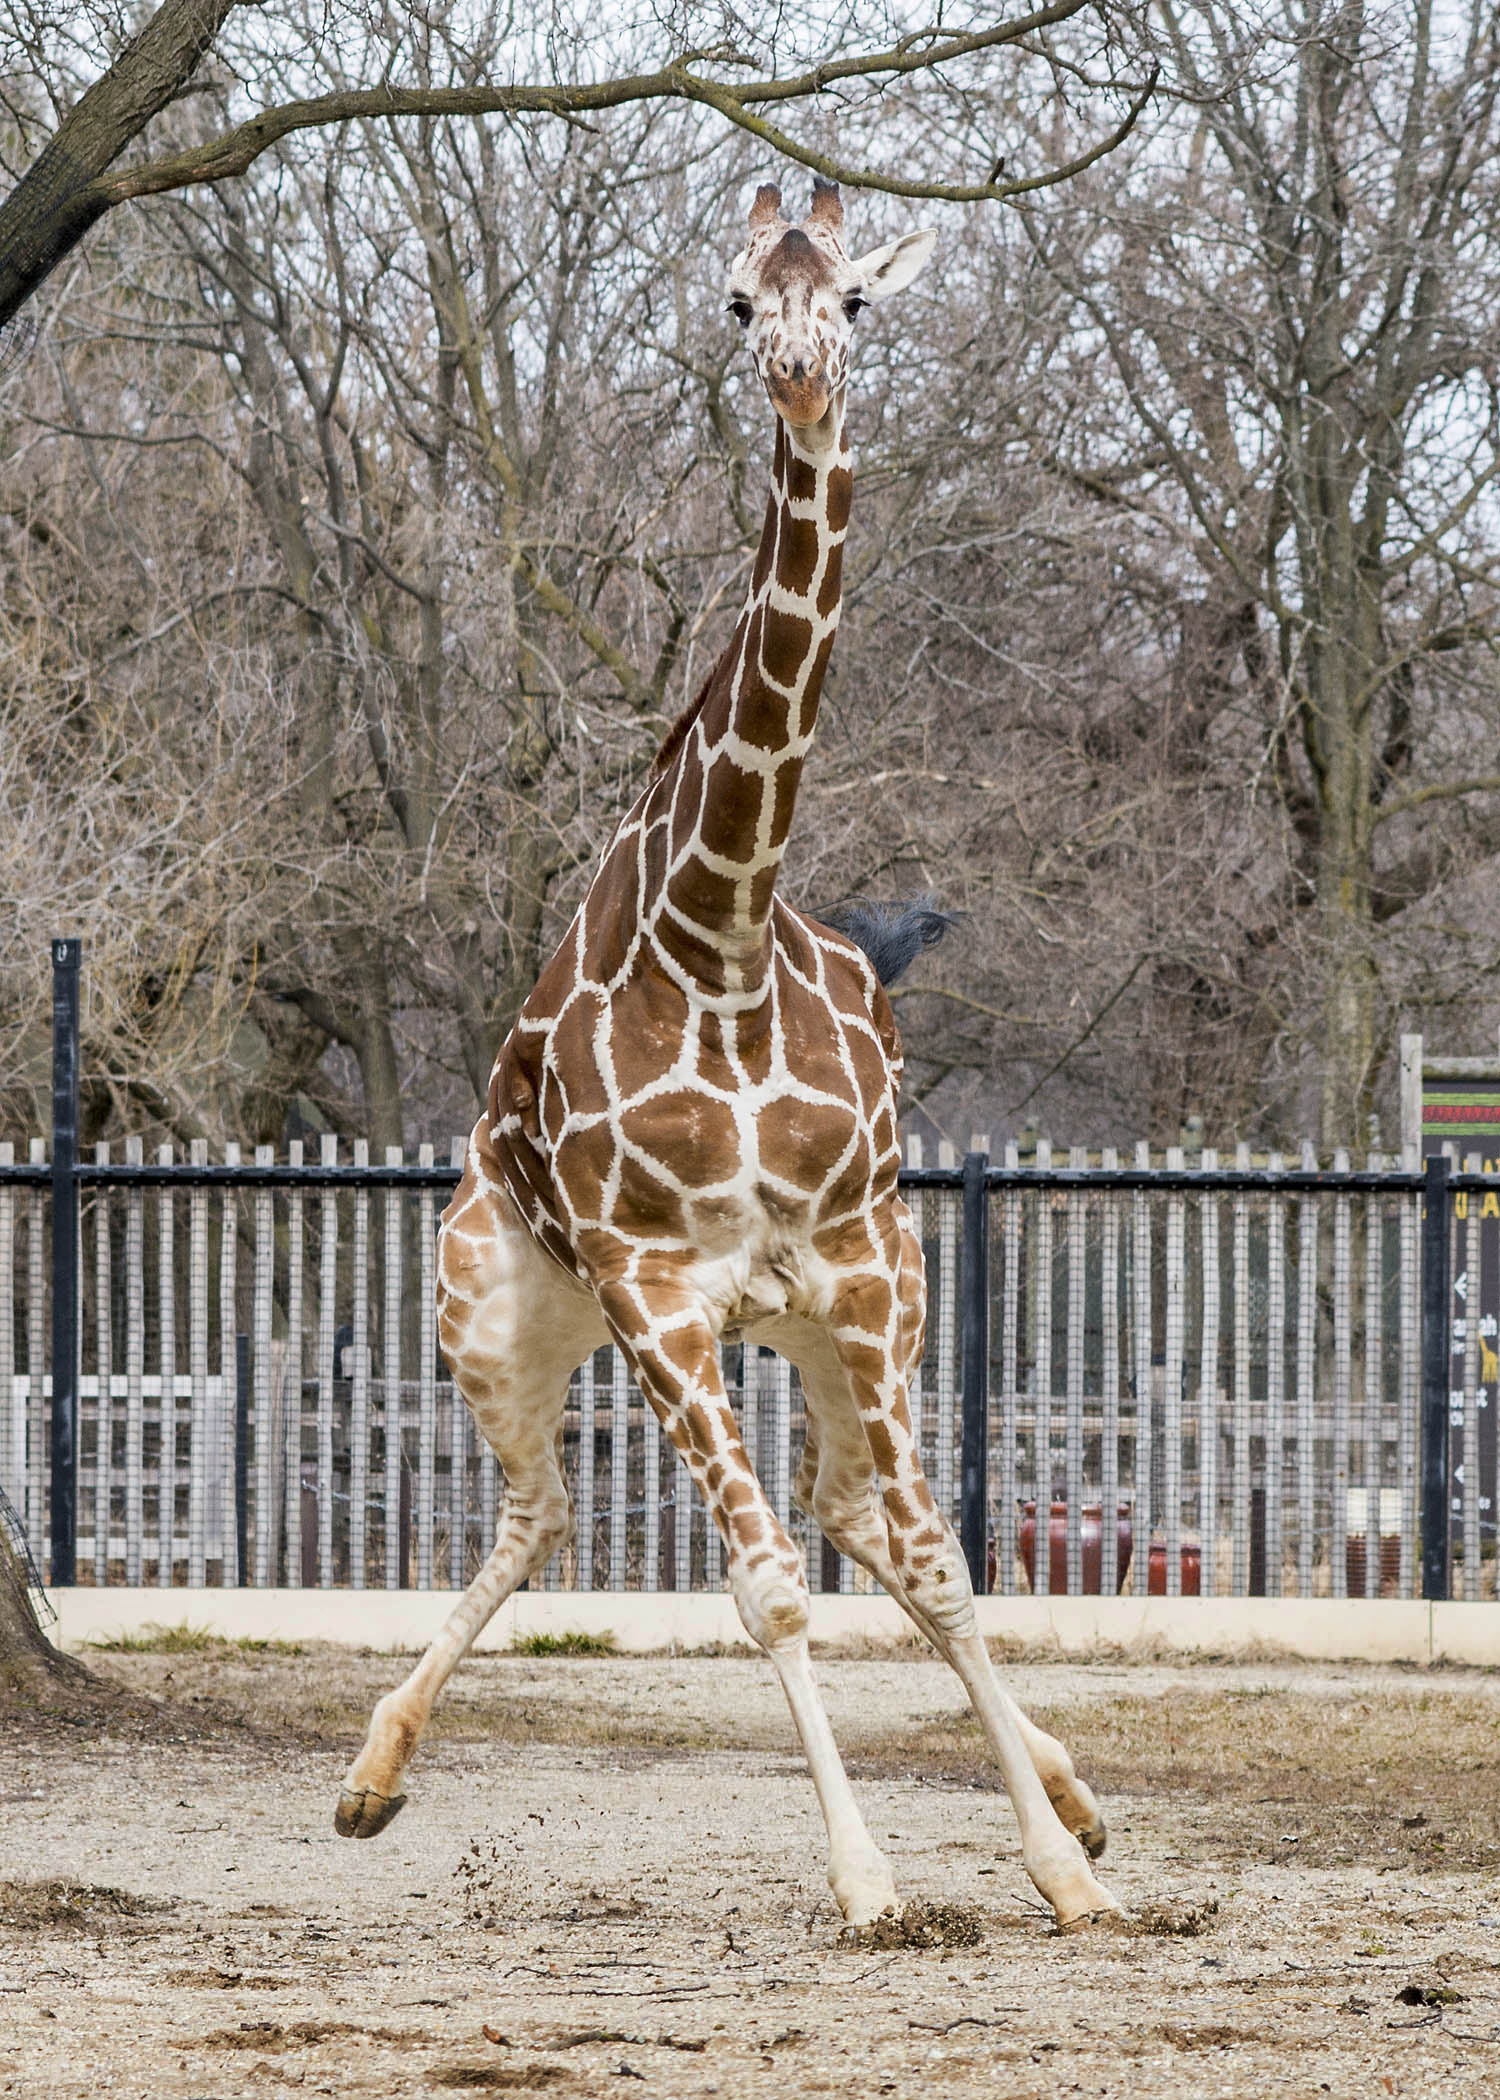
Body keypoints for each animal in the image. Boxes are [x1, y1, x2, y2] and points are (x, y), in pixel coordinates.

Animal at [335, 179, 1119, 1933]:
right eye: (741, 304)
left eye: (859, 300)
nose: (806, 383)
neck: (729, 944)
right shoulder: (655, 1291)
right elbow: (765, 1594)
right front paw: (871, 1882)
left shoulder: (859, 1266)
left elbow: (942, 1567)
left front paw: (1061, 1868)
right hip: (502, 1309)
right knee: (543, 1512)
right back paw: (368, 1773)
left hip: (843, 1312)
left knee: (855, 1517)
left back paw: (1079, 1795)